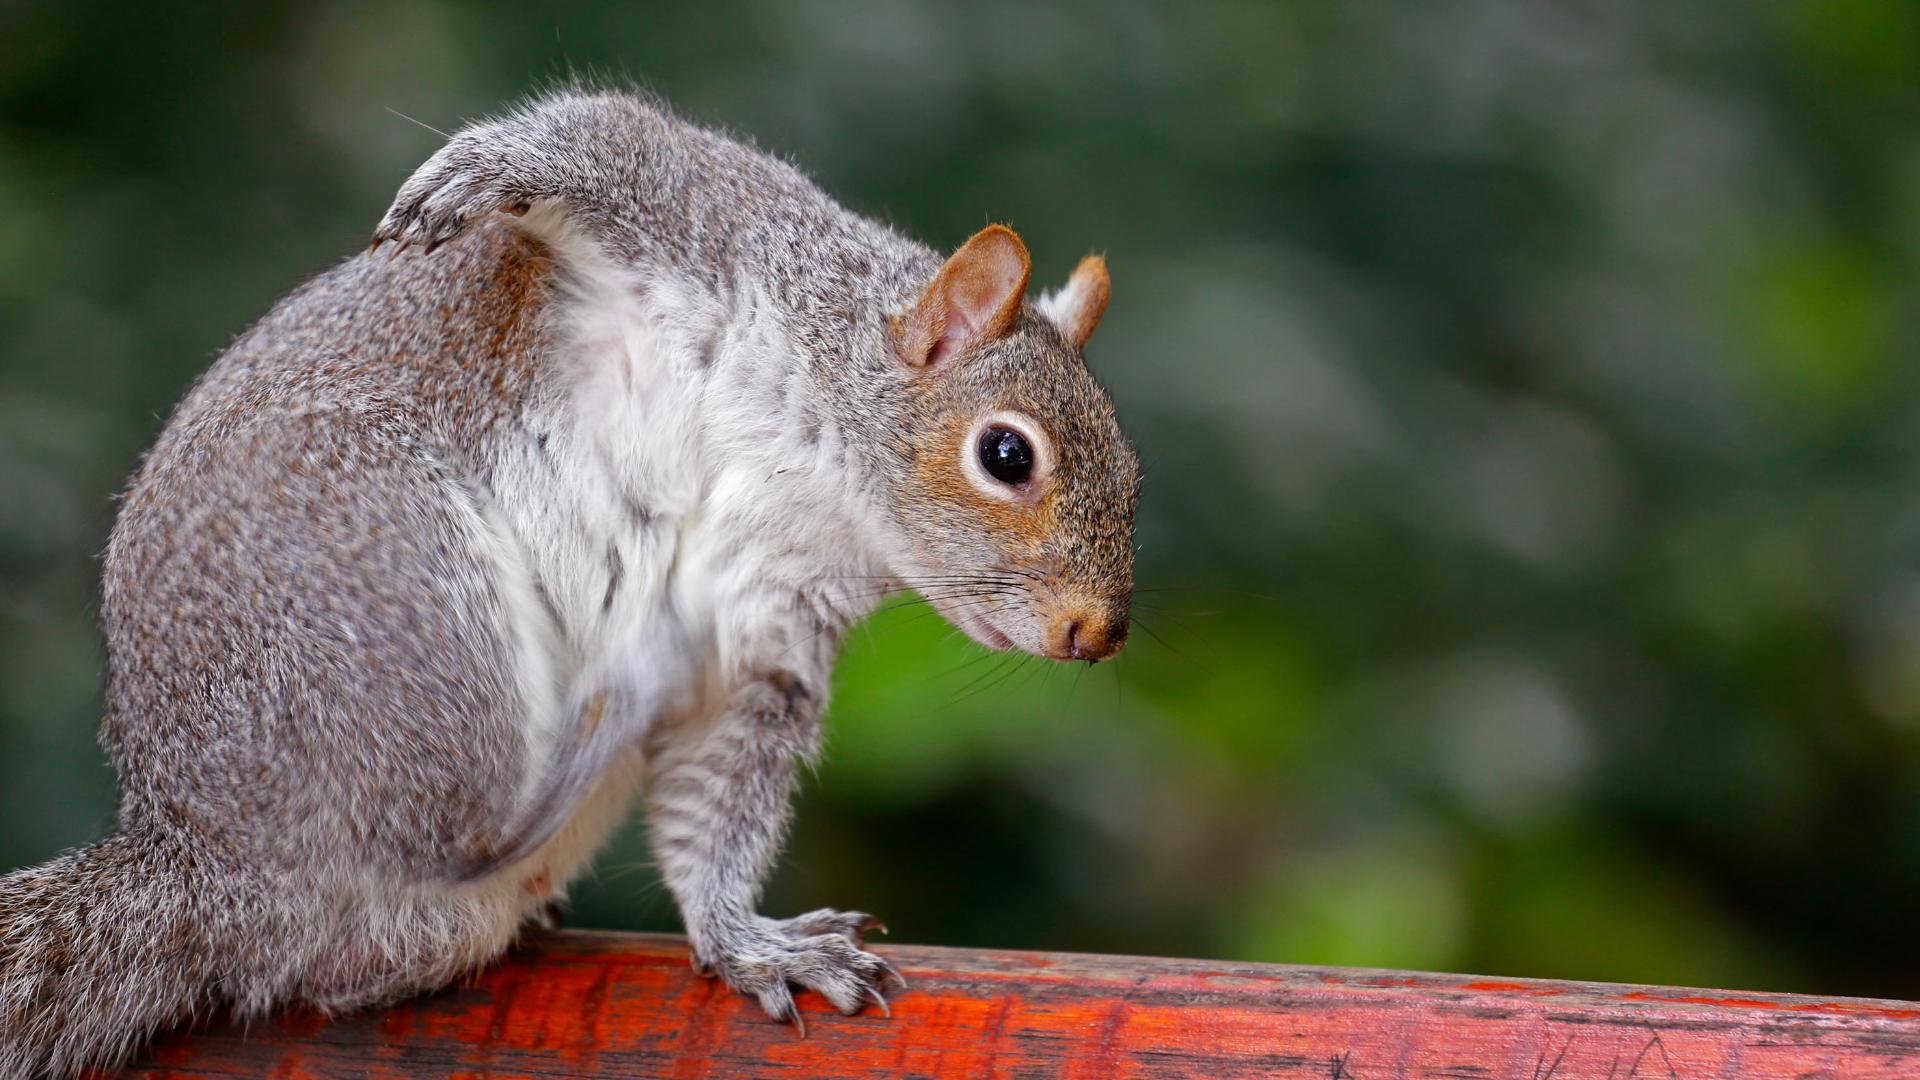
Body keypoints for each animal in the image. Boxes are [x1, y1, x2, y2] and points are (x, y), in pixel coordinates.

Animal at [0, 86, 1138, 1076]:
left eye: (1132, 472)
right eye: (1006, 455)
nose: (1100, 633)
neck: (811, 472)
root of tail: (207, 858)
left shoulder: (763, 630)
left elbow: (716, 802)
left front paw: (748, 942)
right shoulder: (695, 215)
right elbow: (596, 137)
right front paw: (479, 172)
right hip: (400, 603)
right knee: (453, 821)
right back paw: (608, 702)